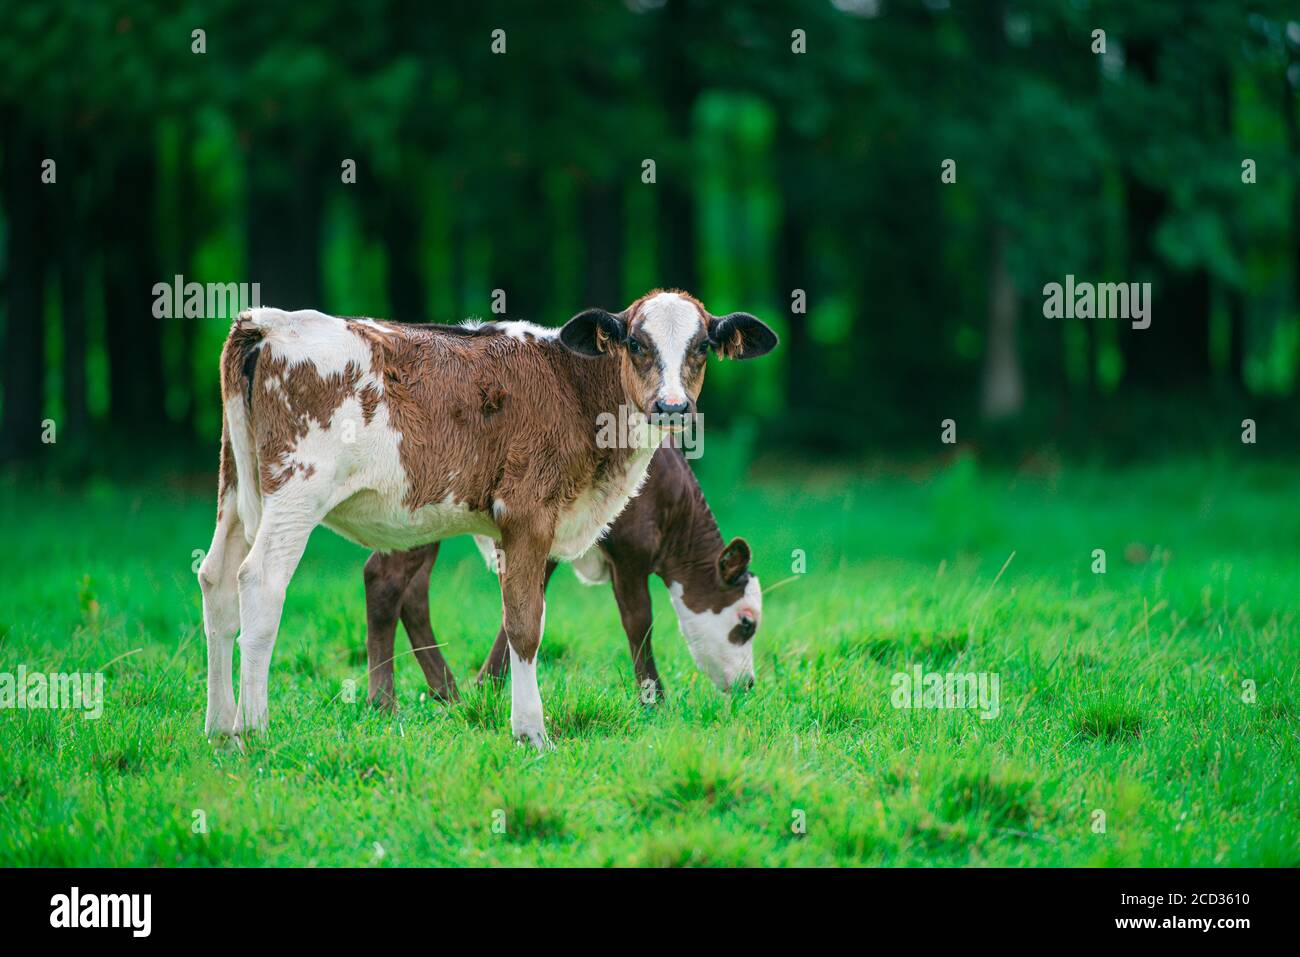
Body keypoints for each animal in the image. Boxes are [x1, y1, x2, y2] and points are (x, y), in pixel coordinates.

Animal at [360, 445, 763, 708]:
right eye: (746, 624)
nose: (749, 684)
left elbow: (521, 610)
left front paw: (486, 688)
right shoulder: (630, 551)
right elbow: (638, 623)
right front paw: (655, 701)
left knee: (414, 594)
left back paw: (448, 694)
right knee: (383, 577)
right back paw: (384, 704)